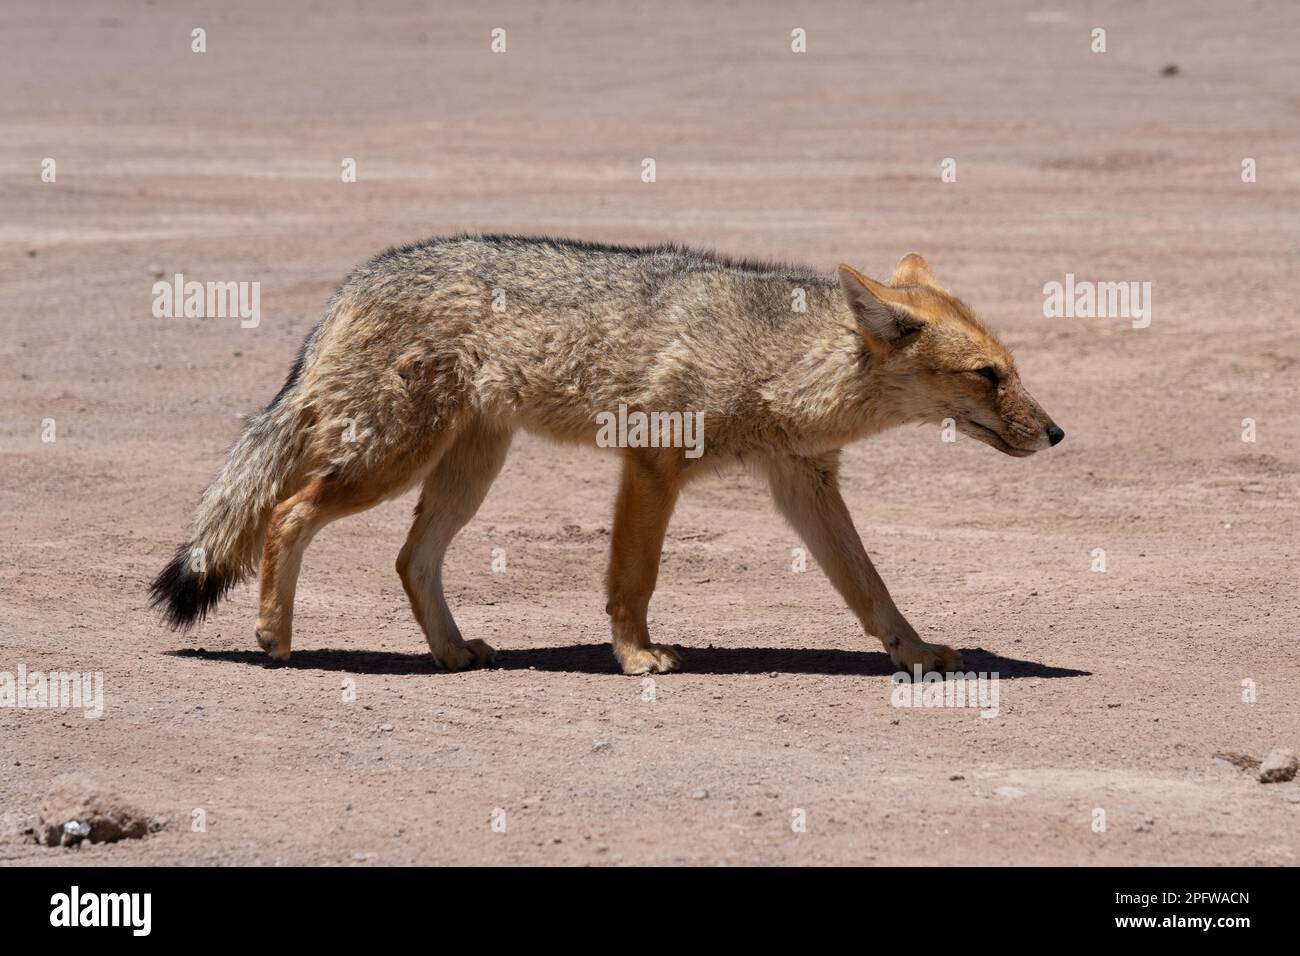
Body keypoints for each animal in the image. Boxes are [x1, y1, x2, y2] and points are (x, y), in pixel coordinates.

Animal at [151, 234, 1064, 676]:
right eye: (988, 377)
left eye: (1012, 370)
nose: (1057, 434)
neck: (778, 359)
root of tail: (358, 277)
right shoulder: (652, 464)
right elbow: (633, 579)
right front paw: (635, 659)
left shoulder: (803, 483)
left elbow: (872, 590)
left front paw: (915, 654)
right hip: (394, 461)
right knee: (286, 513)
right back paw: (274, 635)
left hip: (468, 470)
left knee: (411, 559)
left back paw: (451, 653)